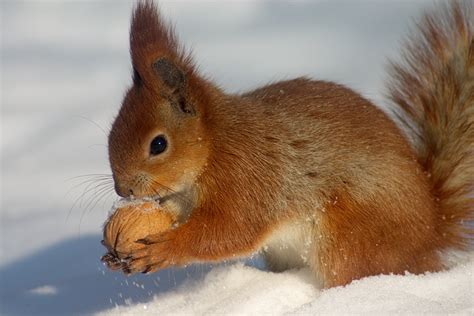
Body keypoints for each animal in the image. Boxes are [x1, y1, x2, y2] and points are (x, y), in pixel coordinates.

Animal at [104, 0, 474, 288]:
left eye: (158, 144)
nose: (124, 190)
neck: (214, 145)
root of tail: (432, 231)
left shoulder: (247, 177)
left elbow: (228, 231)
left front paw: (163, 249)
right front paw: (114, 249)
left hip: (351, 239)